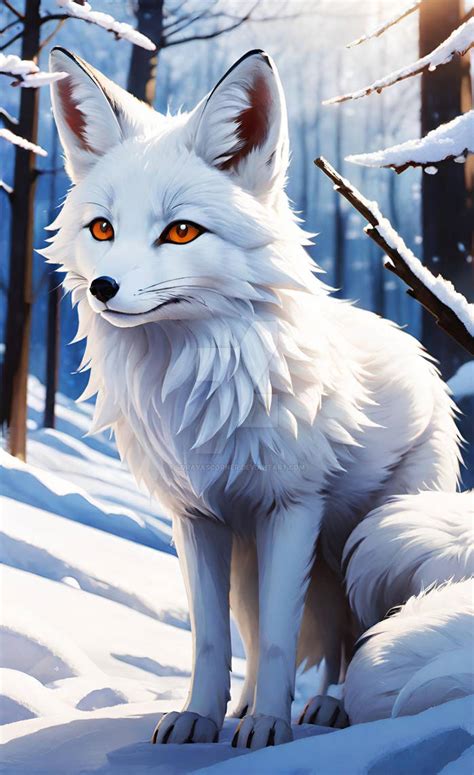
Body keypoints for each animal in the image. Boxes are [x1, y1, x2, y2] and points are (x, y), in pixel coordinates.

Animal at [44, 47, 461, 749]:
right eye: (101, 228)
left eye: (181, 232)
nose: (103, 287)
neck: (194, 384)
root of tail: (415, 350)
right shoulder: (198, 520)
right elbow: (214, 638)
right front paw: (200, 718)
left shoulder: (293, 508)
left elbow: (278, 641)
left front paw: (269, 726)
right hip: (261, 559)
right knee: (290, 627)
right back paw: (248, 707)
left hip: (368, 538)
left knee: (352, 631)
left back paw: (328, 709)